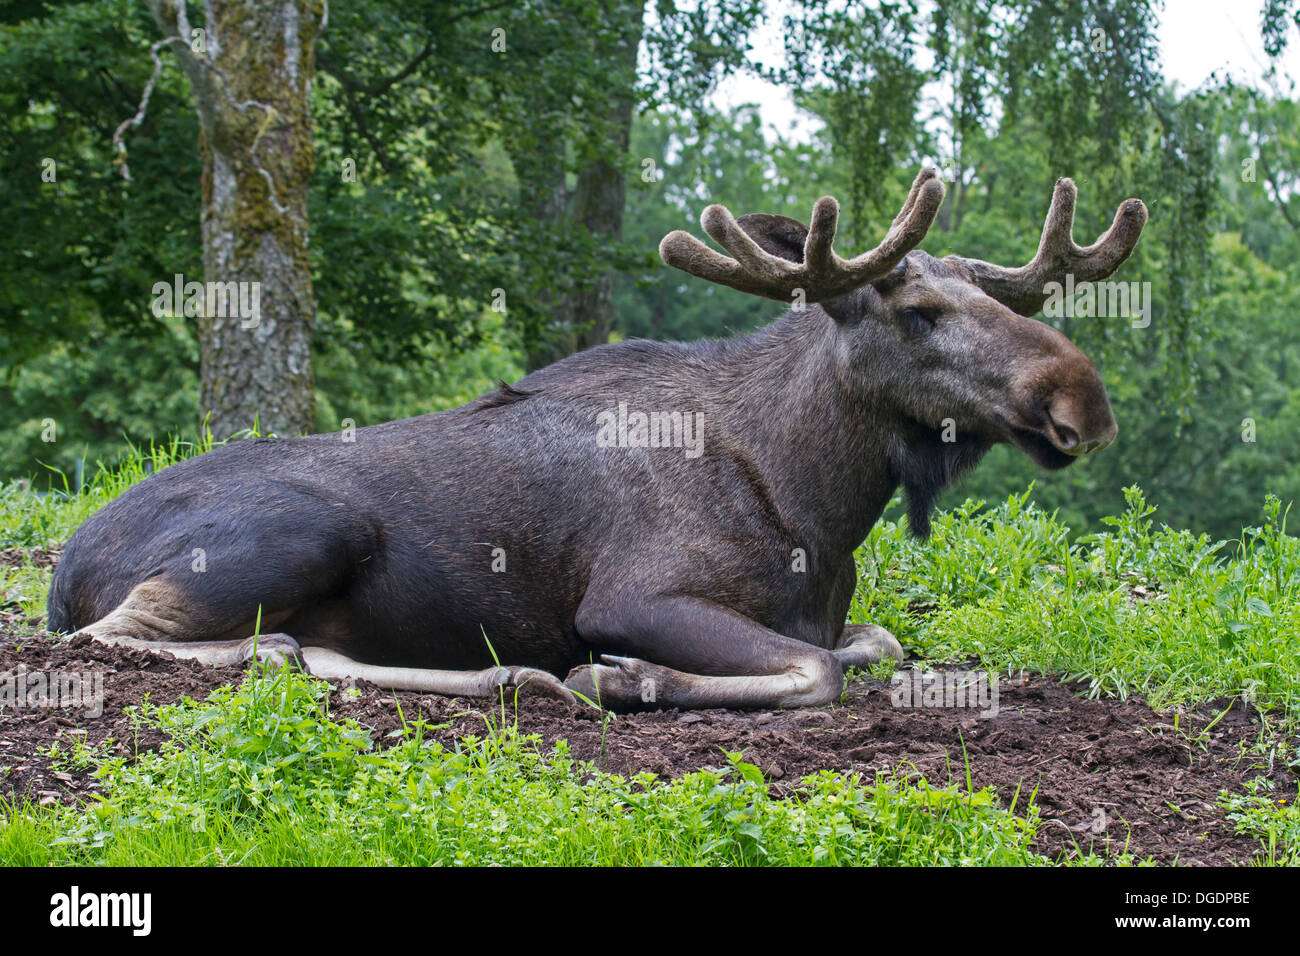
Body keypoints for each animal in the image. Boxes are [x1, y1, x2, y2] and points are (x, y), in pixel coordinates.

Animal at [47, 168, 1147, 711]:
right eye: (918, 311)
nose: (1082, 401)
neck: (817, 506)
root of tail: (66, 565)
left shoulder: (832, 611)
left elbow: (874, 641)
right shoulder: (633, 593)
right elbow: (820, 670)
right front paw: (627, 675)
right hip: (300, 535)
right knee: (178, 641)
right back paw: (522, 675)